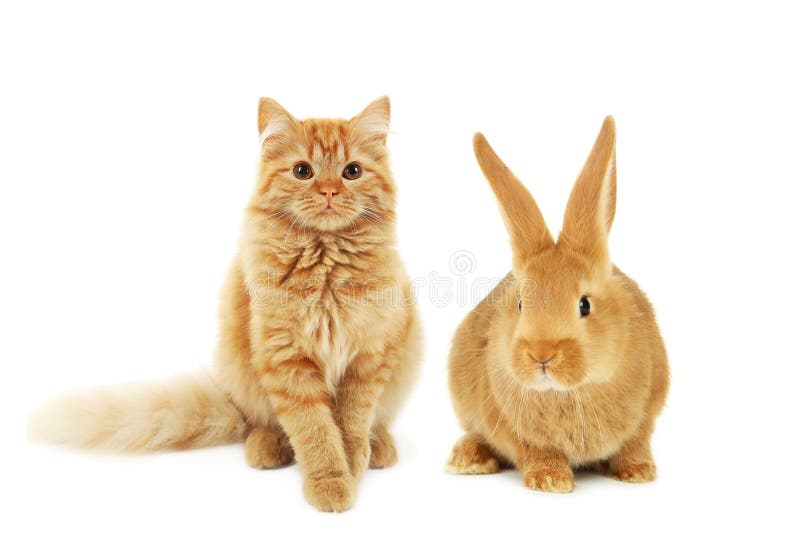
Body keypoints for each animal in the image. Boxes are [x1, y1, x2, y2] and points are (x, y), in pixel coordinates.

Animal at [447, 117, 669, 493]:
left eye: (584, 305)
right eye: (521, 304)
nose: (542, 354)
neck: (569, 393)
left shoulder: (648, 410)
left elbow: (635, 441)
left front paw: (638, 472)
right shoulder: (511, 427)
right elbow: (534, 450)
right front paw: (551, 480)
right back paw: (467, 460)